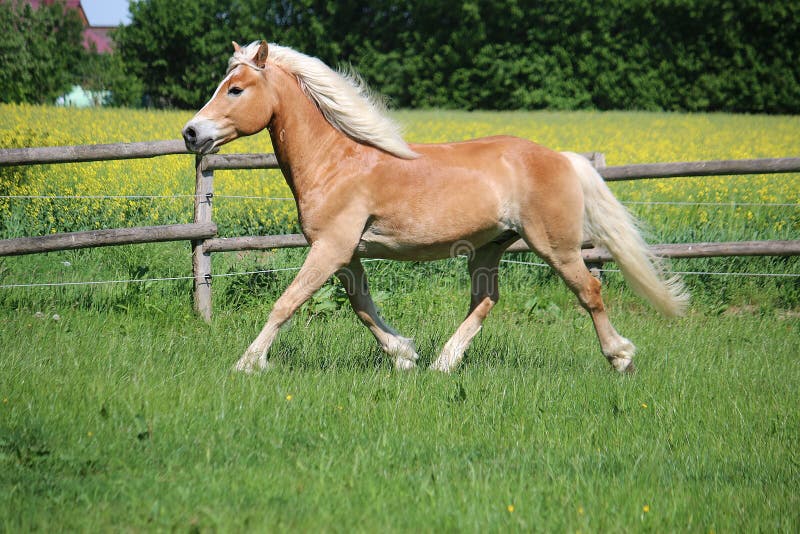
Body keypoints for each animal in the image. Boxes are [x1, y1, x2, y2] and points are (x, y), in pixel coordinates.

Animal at [182, 41, 688, 374]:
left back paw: (620, 358)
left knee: (590, 292)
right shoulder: (346, 254)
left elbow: (286, 303)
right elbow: (361, 305)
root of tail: (561, 157)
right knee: (485, 300)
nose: (191, 133)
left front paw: (247, 363)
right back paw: (442, 364)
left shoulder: (330, 248)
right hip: (488, 248)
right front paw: (404, 355)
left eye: (235, 89)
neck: (338, 160)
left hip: (555, 246)